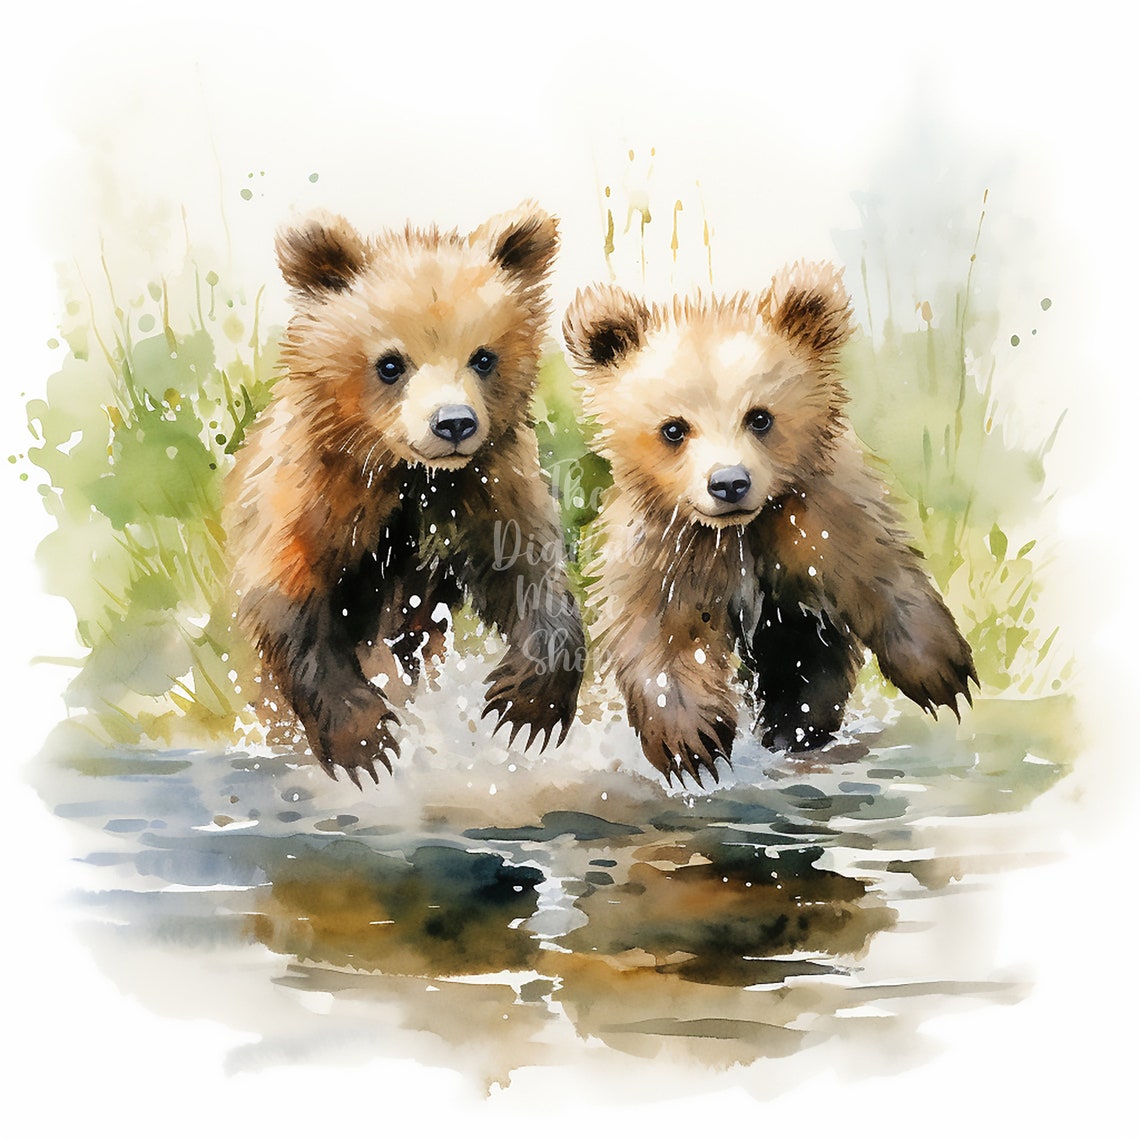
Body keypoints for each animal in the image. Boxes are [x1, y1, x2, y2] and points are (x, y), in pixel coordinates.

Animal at [225, 203, 585, 786]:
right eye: (390, 363)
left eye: (483, 357)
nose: (454, 423)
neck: (411, 477)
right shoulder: (311, 497)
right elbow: (290, 600)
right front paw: (365, 740)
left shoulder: (488, 490)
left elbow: (528, 572)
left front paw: (524, 706)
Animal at [562, 262, 976, 785]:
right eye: (673, 428)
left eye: (759, 417)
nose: (729, 483)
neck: (742, 534)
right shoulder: (669, 550)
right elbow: (662, 635)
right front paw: (692, 744)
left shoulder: (821, 521)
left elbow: (878, 573)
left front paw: (939, 672)